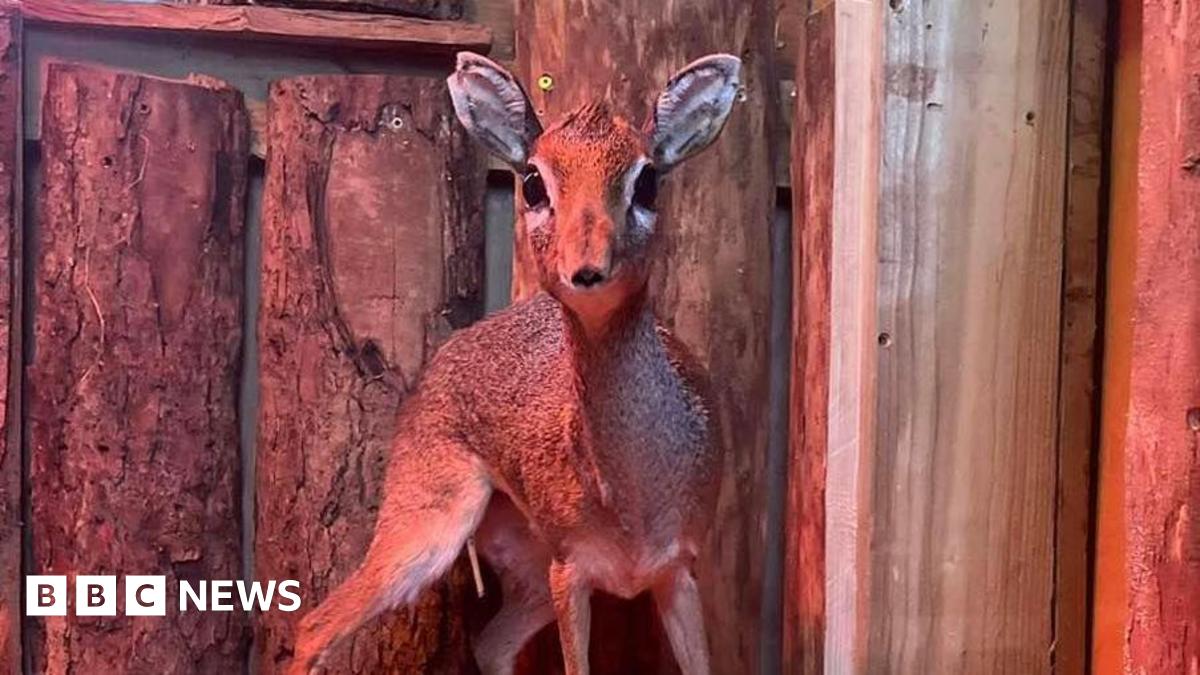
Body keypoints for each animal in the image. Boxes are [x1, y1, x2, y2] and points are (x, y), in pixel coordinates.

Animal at [289, 51, 742, 675]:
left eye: (648, 179)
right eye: (532, 181)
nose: (586, 267)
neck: (634, 501)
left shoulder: (676, 572)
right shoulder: (571, 571)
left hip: (523, 570)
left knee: (490, 642)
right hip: (427, 529)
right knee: (313, 625)